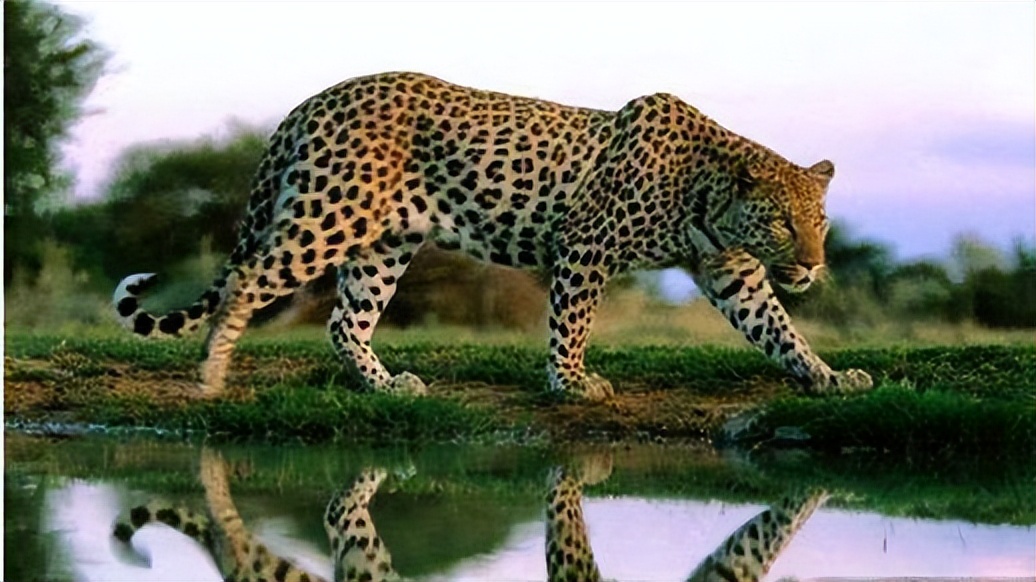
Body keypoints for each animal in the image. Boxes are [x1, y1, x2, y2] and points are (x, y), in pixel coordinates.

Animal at [112, 71, 873, 401]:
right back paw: (211, 375)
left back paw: (385, 386)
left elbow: (778, 328)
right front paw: (571, 383)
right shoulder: (586, 246)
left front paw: (828, 376)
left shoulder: (731, 272)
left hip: (383, 244)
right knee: (245, 280)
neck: (707, 192)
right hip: (329, 216)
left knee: (344, 320)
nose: (812, 266)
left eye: (820, 223)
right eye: (781, 221)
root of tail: (314, 99)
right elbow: (571, 322)